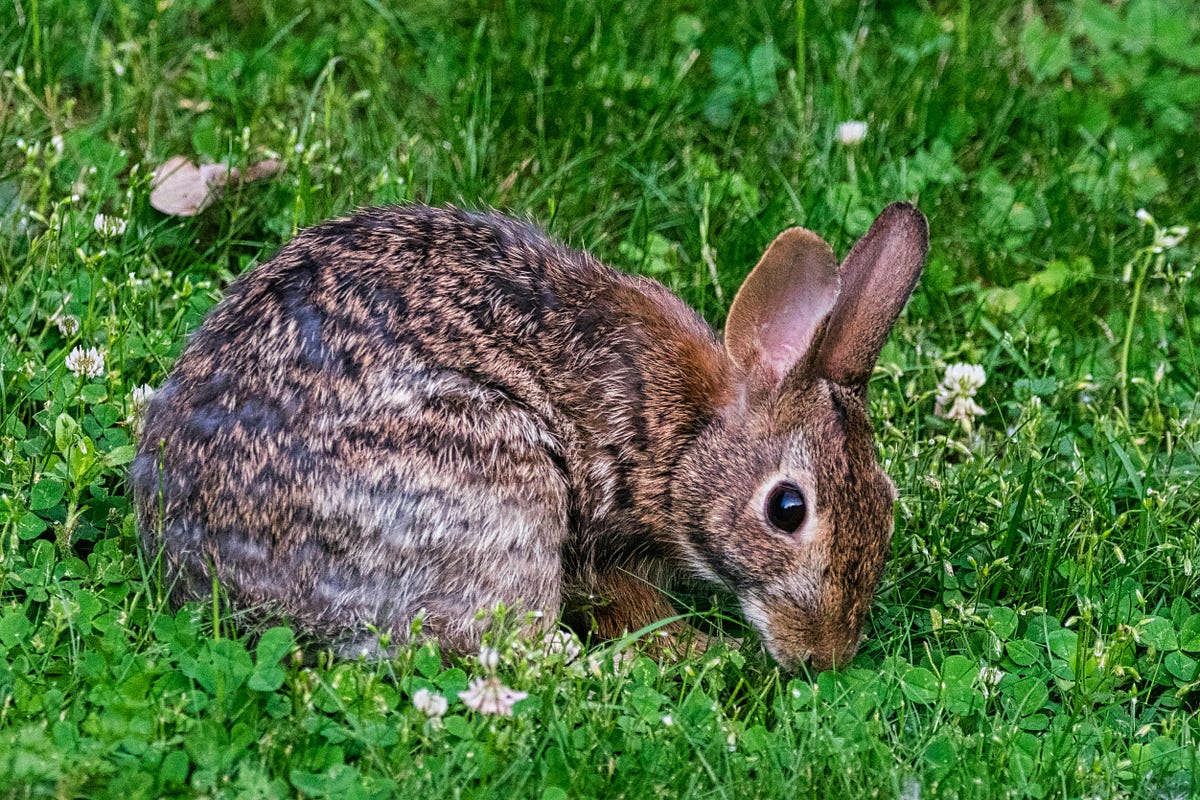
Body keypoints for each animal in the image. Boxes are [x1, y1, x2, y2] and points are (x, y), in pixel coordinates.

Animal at [131, 201, 927, 671]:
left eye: (888, 506)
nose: (825, 657)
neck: (687, 438)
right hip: (498, 492)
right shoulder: (599, 538)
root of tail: (215, 573)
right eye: (787, 510)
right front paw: (702, 647)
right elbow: (628, 606)